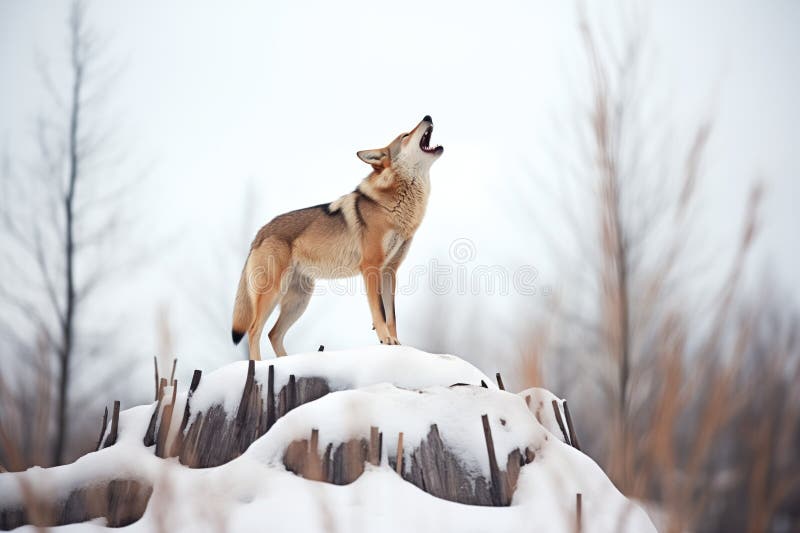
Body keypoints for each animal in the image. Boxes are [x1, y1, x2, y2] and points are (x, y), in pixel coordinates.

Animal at [231, 116, 443, 360]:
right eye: (405, 135)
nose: (428, 117)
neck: (397, 207)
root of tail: (259, 233)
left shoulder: (390, 271)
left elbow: (392, 316)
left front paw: (397, 344)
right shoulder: (371, 268)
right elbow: (379, 312)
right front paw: (386, 340)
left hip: (299, 301)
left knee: (273, 334)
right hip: (273, 294)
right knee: (254, 330)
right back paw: (258, 364)